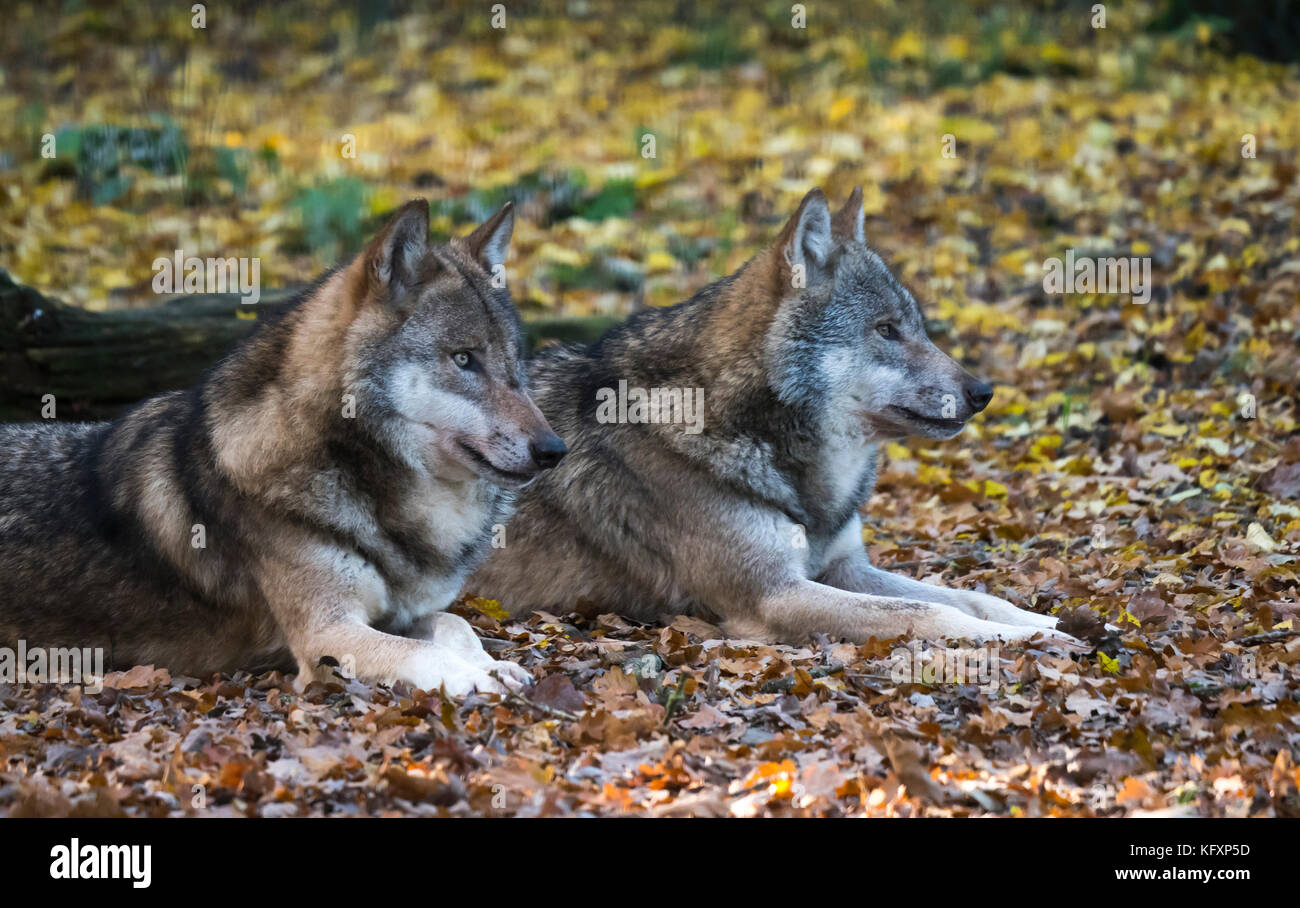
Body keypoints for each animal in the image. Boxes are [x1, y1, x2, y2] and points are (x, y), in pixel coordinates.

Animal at [0, 199, 566, 695]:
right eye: (464, 359)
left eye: (514, 364)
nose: (554, 449)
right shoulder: (327, 633)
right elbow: (424, 652)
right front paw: (474, 678)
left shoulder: (405, 612)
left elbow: (455, 625)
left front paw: (494, 665)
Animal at [469, 188, 1075, 646]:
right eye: (885, 330)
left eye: (919, 328)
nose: (983, 393)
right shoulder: (773, 596)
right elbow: (930, 614)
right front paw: (1022, 640)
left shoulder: (845, 568)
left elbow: (971, 596)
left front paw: (1045, 622)